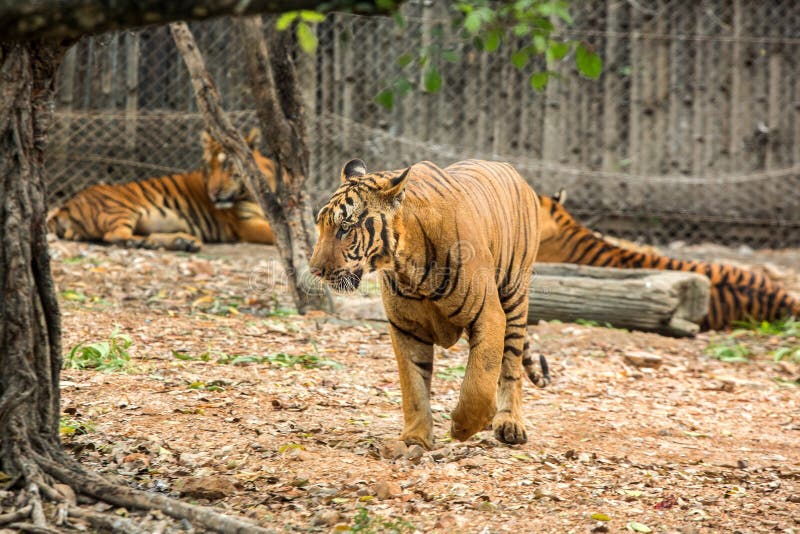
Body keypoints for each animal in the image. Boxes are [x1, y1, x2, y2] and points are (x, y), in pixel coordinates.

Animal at [47, 129, 277, 251]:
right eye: (208, 167)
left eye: (227, 165)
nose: (213, 193)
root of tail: (63, 207)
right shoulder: (246, 225)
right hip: (119, 208)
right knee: (114, 235)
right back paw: (143, 243)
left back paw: (184, 242)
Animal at [310, 158, 549, 449]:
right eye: (321, 226)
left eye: (345, 227)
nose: (314, 270)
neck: (408, 266)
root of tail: (512, 170)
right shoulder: (406, 328)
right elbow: (413, 385)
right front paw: (415, 438)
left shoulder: (489, 315)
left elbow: (478, 382)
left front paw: (462, 427)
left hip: (514, 295)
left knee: (511, 363)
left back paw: (509, 423)